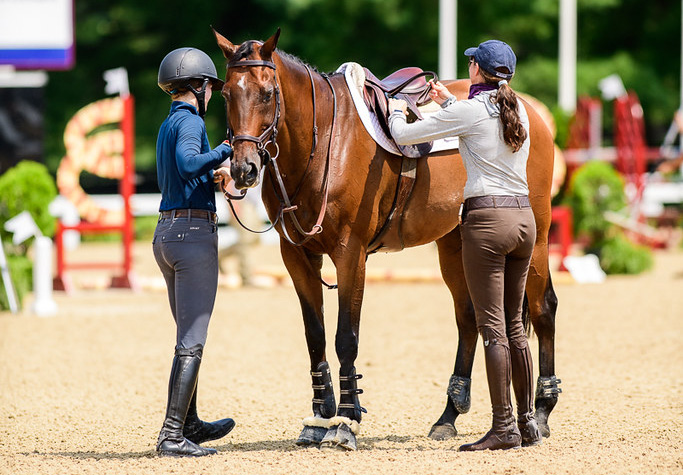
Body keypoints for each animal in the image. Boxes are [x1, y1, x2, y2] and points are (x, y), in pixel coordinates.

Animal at [213, 28, 561, 451]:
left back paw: (541, 413)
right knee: (469, 319)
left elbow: (346, 337)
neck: (325, 139)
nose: (243, 170)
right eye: (226, 94)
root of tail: (530, 112)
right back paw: (448, 417)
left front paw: (346, 423)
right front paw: (319, 419)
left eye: (267, 93)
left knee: (542, 310)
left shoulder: (350, 255)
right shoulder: (297, 256)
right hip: (455, 243)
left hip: (537, 239)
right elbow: (315, 336)